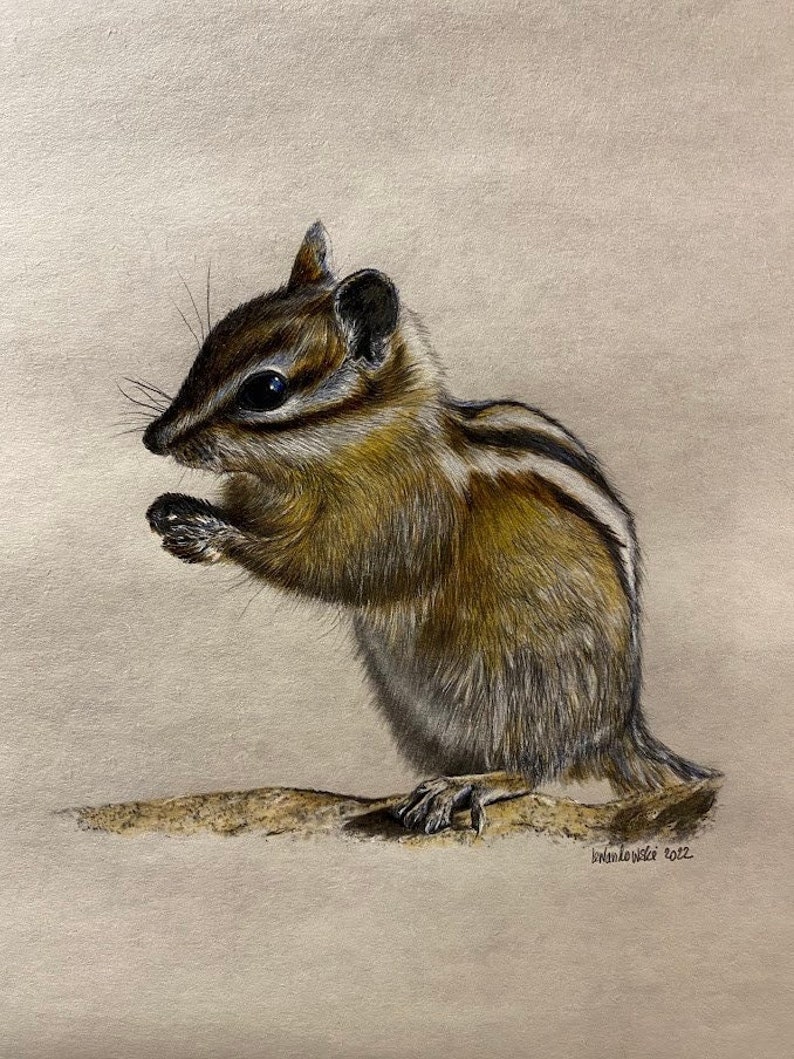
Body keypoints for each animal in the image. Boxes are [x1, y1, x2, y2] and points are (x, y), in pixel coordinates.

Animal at [141, 222, 719, 835]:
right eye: (213, 338)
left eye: (266, 390)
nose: (155, 438)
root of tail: (619, 730)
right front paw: (169, 510)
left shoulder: (400, 522)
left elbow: (328, 568)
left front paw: (210, 532)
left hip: (528, 691)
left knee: (537, 769)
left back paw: (467, 786)